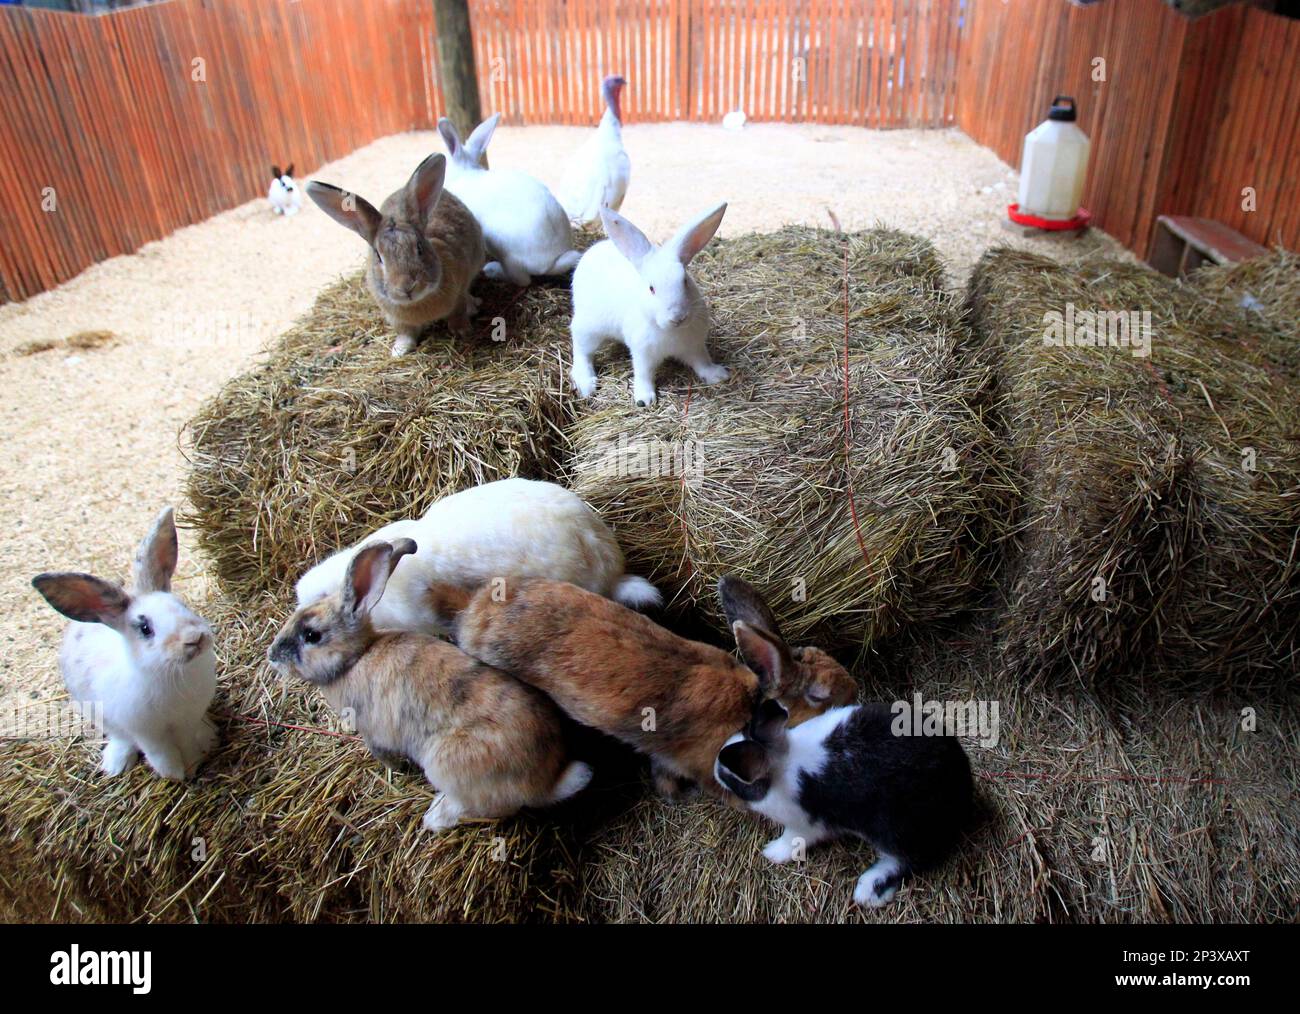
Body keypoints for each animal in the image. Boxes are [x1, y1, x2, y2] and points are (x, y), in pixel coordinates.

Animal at [30, 507, 217, 781]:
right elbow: (161, 755)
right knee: (121, 738)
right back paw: (115, 763)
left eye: (182, 605)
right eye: (145, 628)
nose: (194, 638)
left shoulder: (187, 720)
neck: (171, 674)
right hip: (97, 713)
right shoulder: (147, 732)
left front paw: (193, 766)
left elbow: (187, 744)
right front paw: (175, 775)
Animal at [268, 538, 592, 834]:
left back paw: (435, 817)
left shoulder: (370, 732)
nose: (272, 656)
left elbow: (383, 755)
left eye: (311, 635)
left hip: (442, 764)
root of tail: (546, 783)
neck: (356, 657)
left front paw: (395, 770)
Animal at [307, 152, 486, 357]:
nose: (407, 287)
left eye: (419, 247)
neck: (417, 302)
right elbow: (406, 333)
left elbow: (458, 312)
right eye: (378, 257)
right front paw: (399, 350)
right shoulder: (395, 318)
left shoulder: (458, 295)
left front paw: (463, 331)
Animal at [570, 202, 730, 406]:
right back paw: (586, 384)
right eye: (651, 288)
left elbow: (702, 362)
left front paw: (717, 375)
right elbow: (643, 374)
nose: (678, 316)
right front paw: (644, 399)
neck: (670, 331)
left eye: (685, 281)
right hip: (589, 330)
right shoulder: (642, 353)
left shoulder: (695, 346)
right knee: (581, 351)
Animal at [714, 696, 973, 908]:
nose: (715, 770)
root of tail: (962, 788)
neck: (783, 761)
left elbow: (792, 841)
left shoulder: (803, 825)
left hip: (894, 829)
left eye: (730, 776)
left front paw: (772, 852)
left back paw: (869, 890)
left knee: (909, 860)